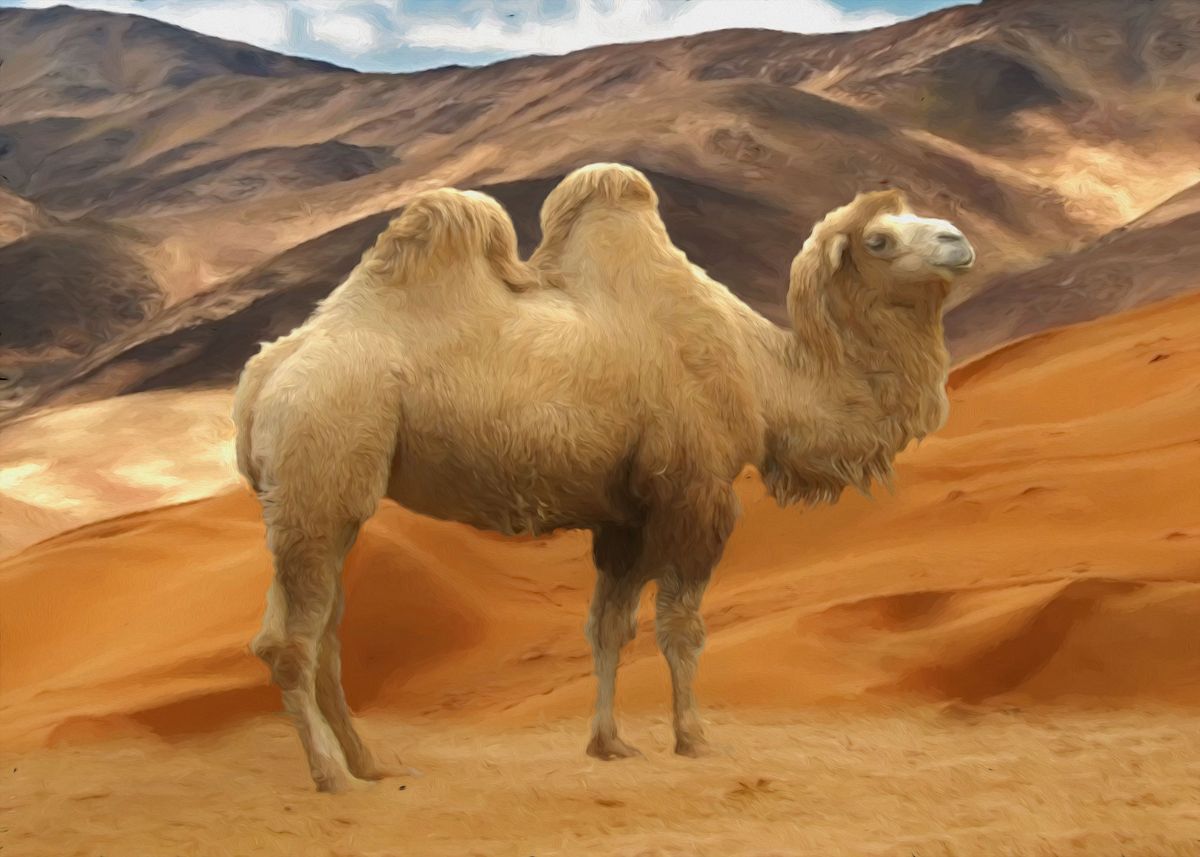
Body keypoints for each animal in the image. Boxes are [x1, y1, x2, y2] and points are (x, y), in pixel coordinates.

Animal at [232, 165, 975, 792]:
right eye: (879, 239)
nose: (959, 241)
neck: (764, 379)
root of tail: (263, 375)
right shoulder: (696, 491)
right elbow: (681, 626)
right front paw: (694, 738)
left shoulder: (623, 514)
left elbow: (607, 628)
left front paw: (610, 742)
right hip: (321, 456)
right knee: (290, 641)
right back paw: (330, 774)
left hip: (319, 500)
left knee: (325, 635)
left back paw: (370, 762)